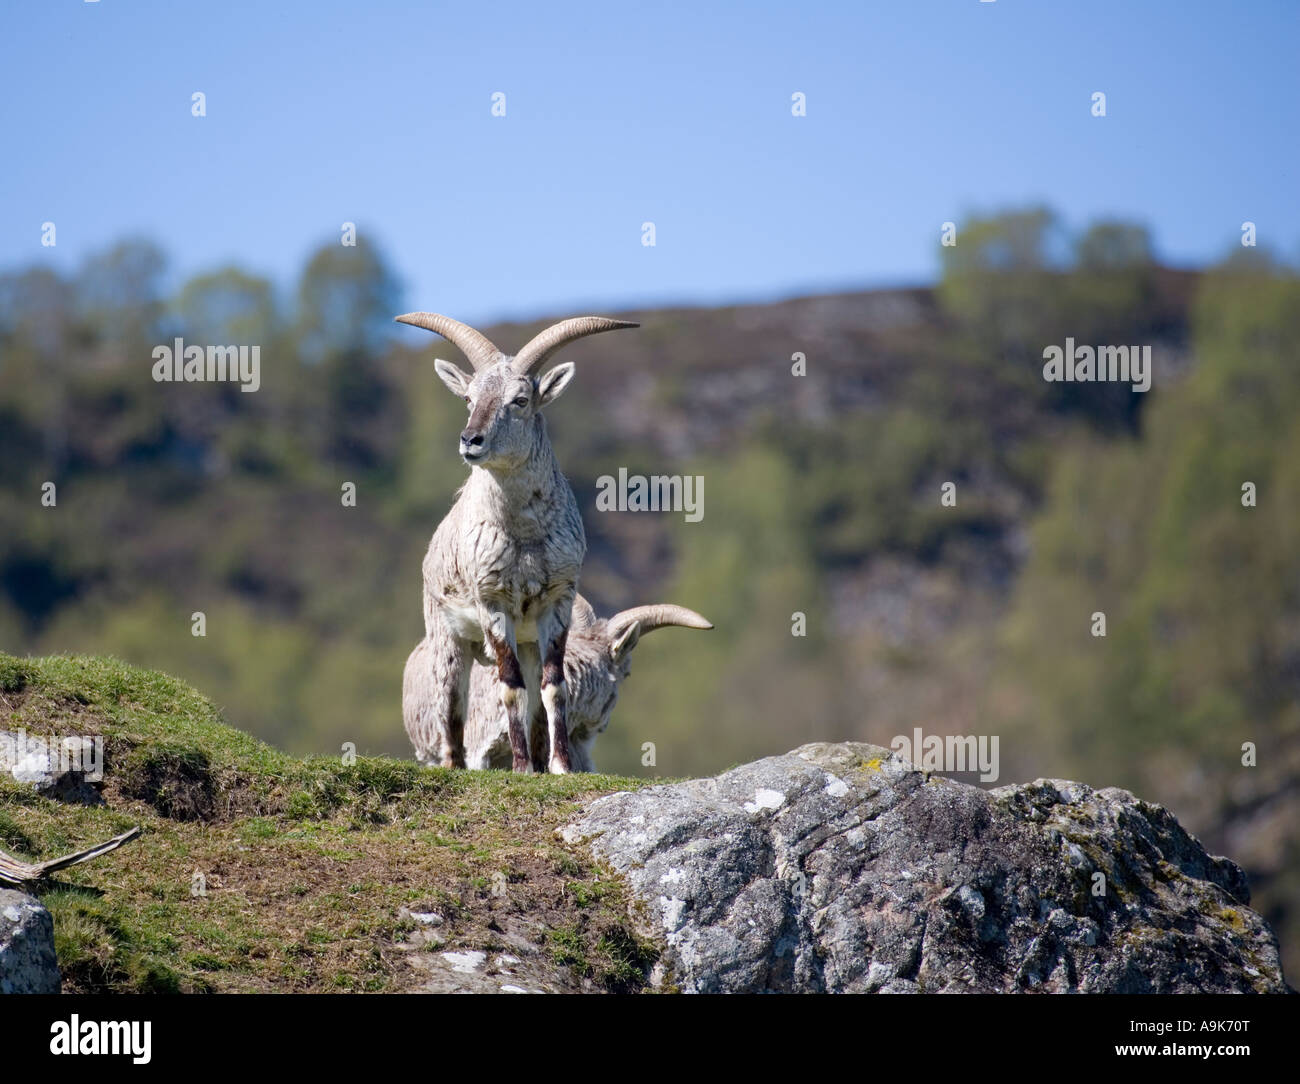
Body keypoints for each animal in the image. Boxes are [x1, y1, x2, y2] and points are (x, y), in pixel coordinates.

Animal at [397, 312, 638, 773]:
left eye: (520, 400)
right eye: (468, 398)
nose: (470, 440)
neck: (524, 538)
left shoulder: (557, 601)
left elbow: (552, 687)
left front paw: (559, 767)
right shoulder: (492, 601)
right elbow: (510, 687)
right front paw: (522, 767)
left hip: (525, 639)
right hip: (447, 634)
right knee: (451, 701)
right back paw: (456, 764)